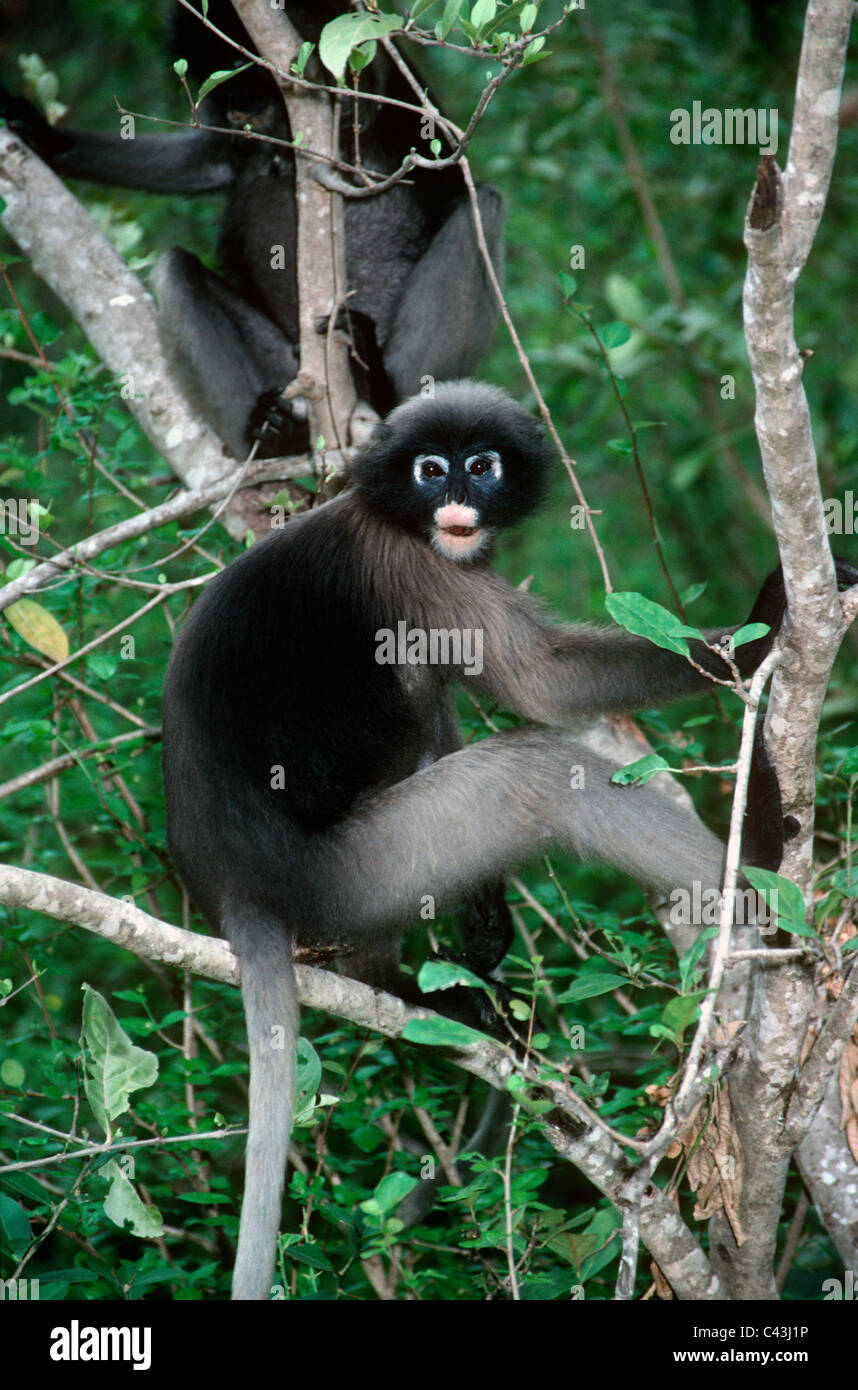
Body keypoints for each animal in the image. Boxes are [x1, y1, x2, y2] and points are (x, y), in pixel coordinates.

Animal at [0, 1, 504, 459]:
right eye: (221, 81)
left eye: (251, 71)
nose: (239, 110)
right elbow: (207, 161)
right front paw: (45, 138)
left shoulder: (381, 74)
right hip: (288, 370)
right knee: (175, 269)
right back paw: (274, 440)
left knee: (486, 206)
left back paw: (385, 391)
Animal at [160, 380, 856, 1299]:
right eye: (431, 469)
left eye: (481, 465)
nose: (457, 498)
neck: (395, 516)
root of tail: (243, 891)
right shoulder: (416, 568)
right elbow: (547, 686)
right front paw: (767, 615)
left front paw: (487, 930)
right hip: (363, 866)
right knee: (530, 774)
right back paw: (761, 884)